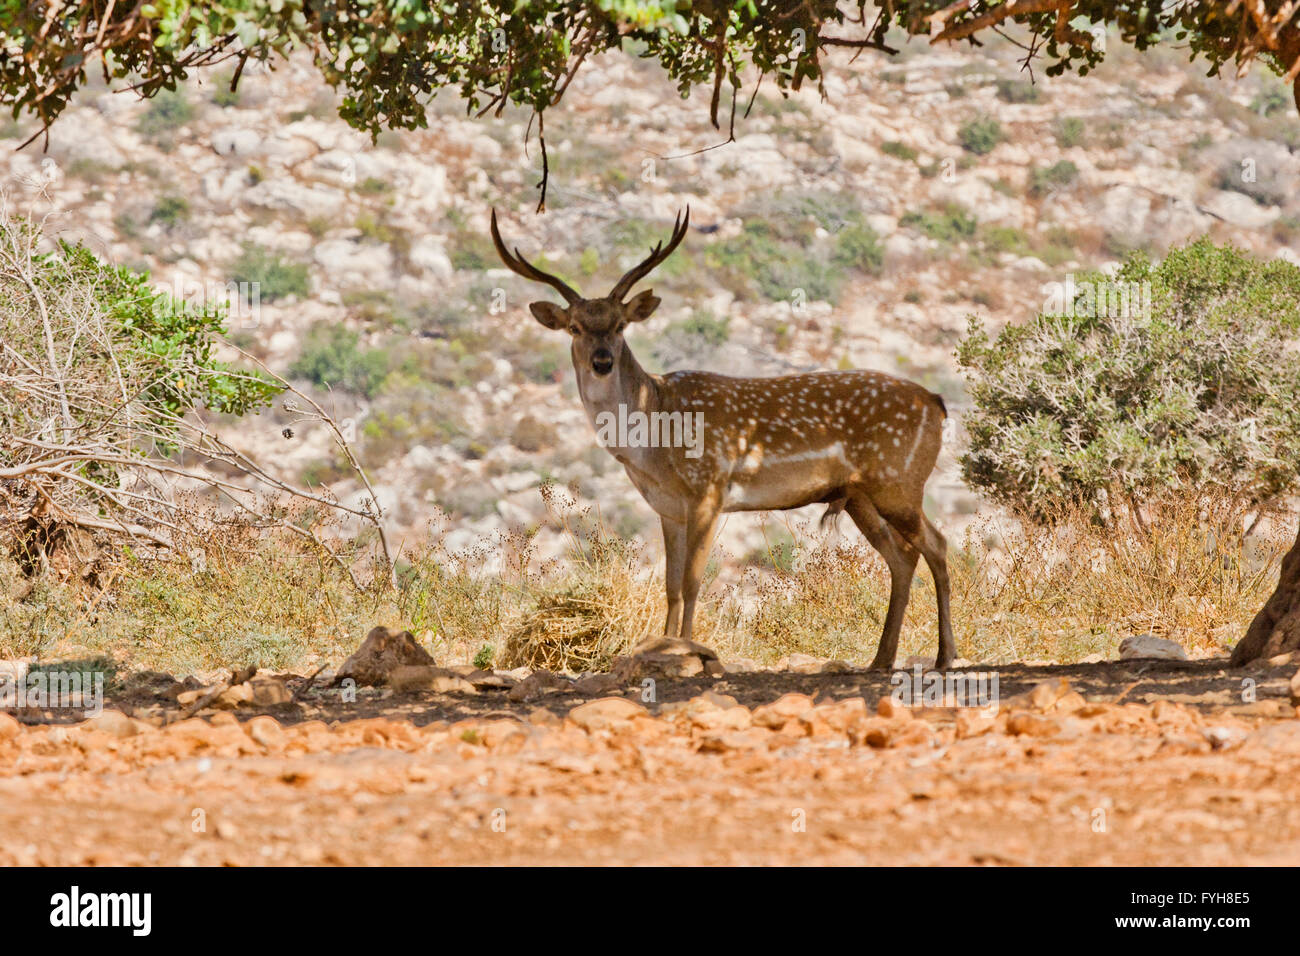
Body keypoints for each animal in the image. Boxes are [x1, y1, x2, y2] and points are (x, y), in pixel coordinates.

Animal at [490, 208, 957, 670]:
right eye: (573, 327)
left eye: (620, 325)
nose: (602, 361)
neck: (653, 439)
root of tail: (936, 403)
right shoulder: (668, 508)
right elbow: (670, 584)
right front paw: (665, 645)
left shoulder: (708, 487)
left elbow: (694, 581)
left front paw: (689, 650)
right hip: (863, 496)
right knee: (903, 557)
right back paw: (882, 659)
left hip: (898, 481)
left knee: (936, 544)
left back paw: (944, 656)